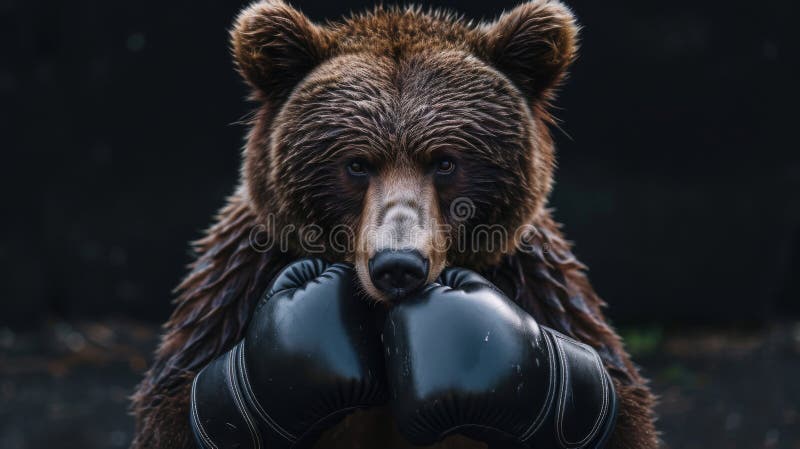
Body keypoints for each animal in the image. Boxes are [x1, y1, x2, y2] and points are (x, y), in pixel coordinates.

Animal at [131, 1, 660, 448]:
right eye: (356, 164)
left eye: (445, 162)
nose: (399, 264)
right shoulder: (241, 277)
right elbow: (176, 405)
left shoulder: (534, 278)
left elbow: (618, 410)